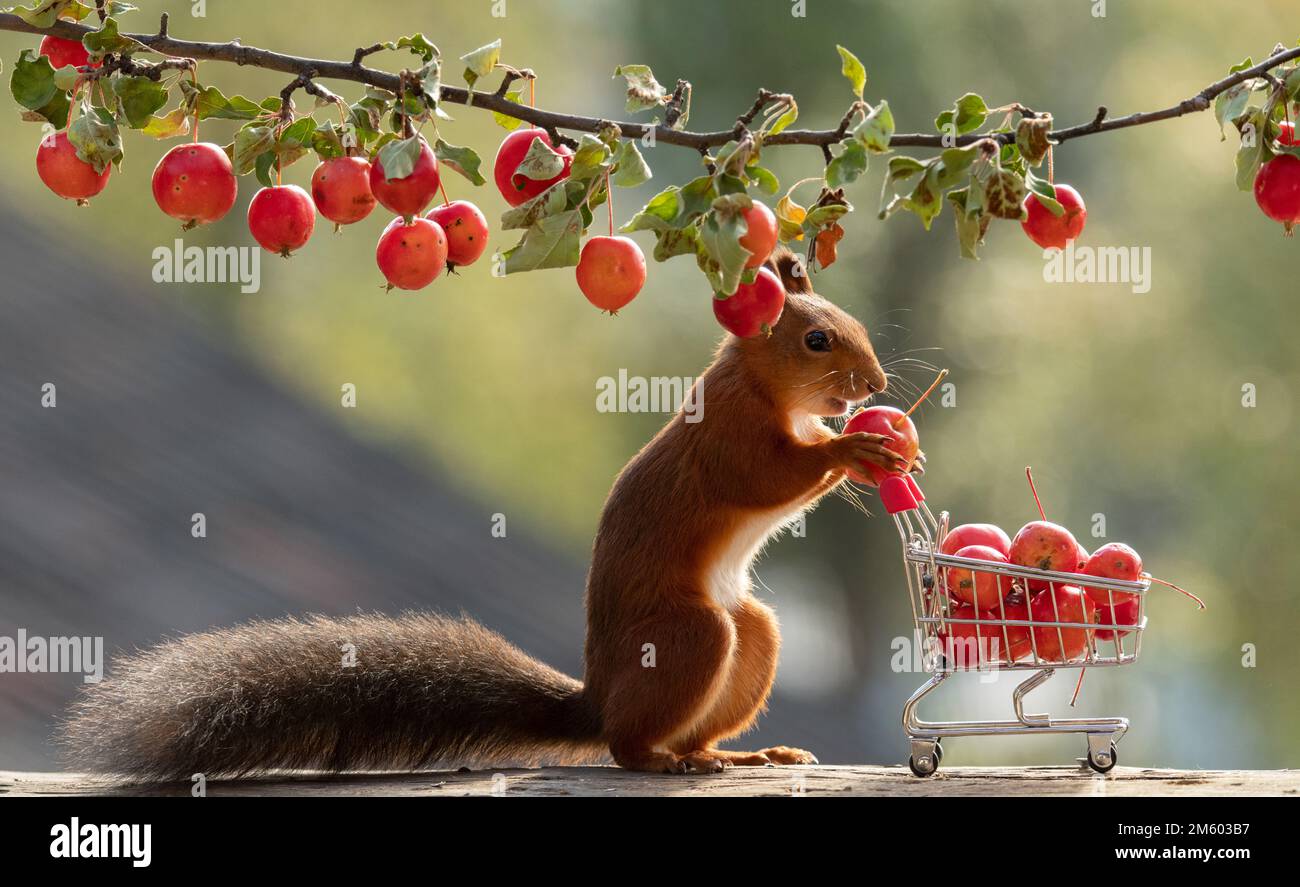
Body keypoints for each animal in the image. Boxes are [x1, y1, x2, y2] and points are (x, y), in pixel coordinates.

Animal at [62, 247, 911, 779]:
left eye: (853, 324)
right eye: (817, 338)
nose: (873, 384)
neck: (760, 383)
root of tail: (595, 701)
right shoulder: (727, 433)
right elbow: (768, 476)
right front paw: (856, 450)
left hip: (751, 632)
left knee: (705, 703)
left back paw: (735, 754)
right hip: (689, 633)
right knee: (631, 742)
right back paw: (664, 756)